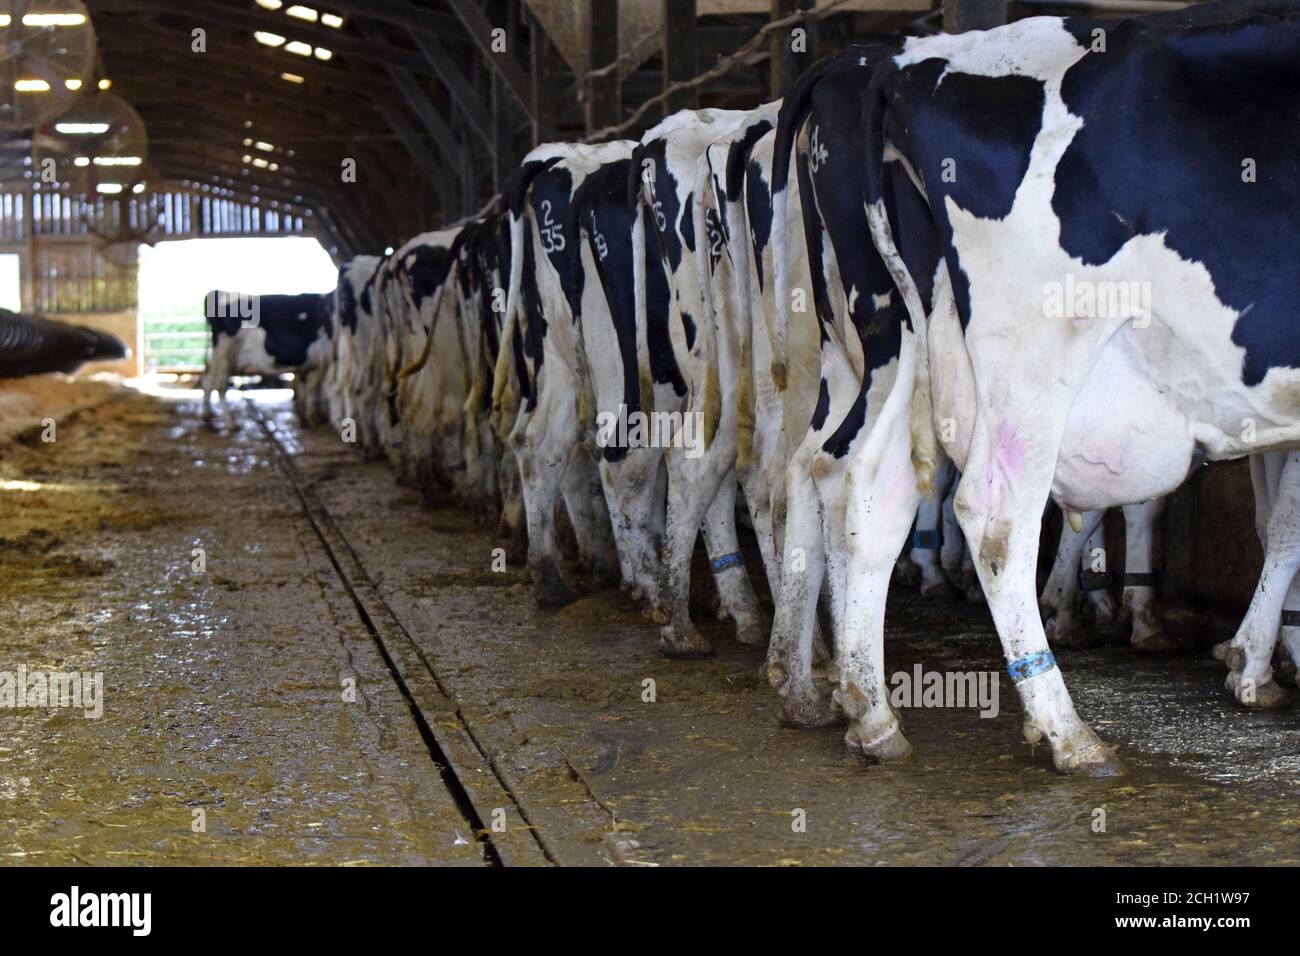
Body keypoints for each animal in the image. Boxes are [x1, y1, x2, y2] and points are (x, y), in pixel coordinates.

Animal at [199, 290, 332, 429]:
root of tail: (217, 292)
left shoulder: (309, 364)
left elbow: (306, 387)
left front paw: (305, 418)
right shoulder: (323, 361)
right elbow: (312, 388)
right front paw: (313, 419)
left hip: (217, 356)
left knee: (207, 380)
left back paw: (207, 415)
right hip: (225, 353)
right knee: (219, 385)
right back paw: (231, 422)